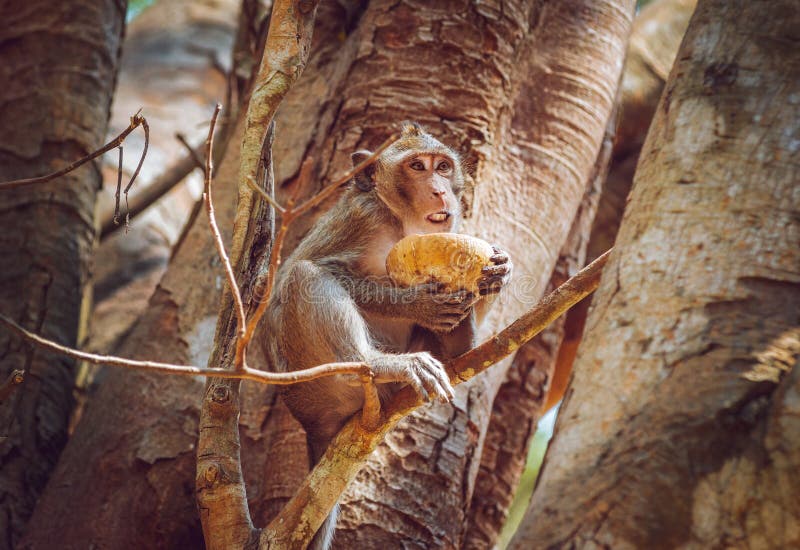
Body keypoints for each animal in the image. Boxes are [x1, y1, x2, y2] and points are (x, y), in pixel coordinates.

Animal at [260, 122, 512, 550]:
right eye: (417, 166)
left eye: (443, 166)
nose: (440, 190)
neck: (401, 223)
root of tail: (311, 424)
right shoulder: (362, 216)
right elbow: (313, 269)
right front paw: (418, 304)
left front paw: (493, 277)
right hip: (306, 380)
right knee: (304, 277)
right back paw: (377, 363)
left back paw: (462, 337)